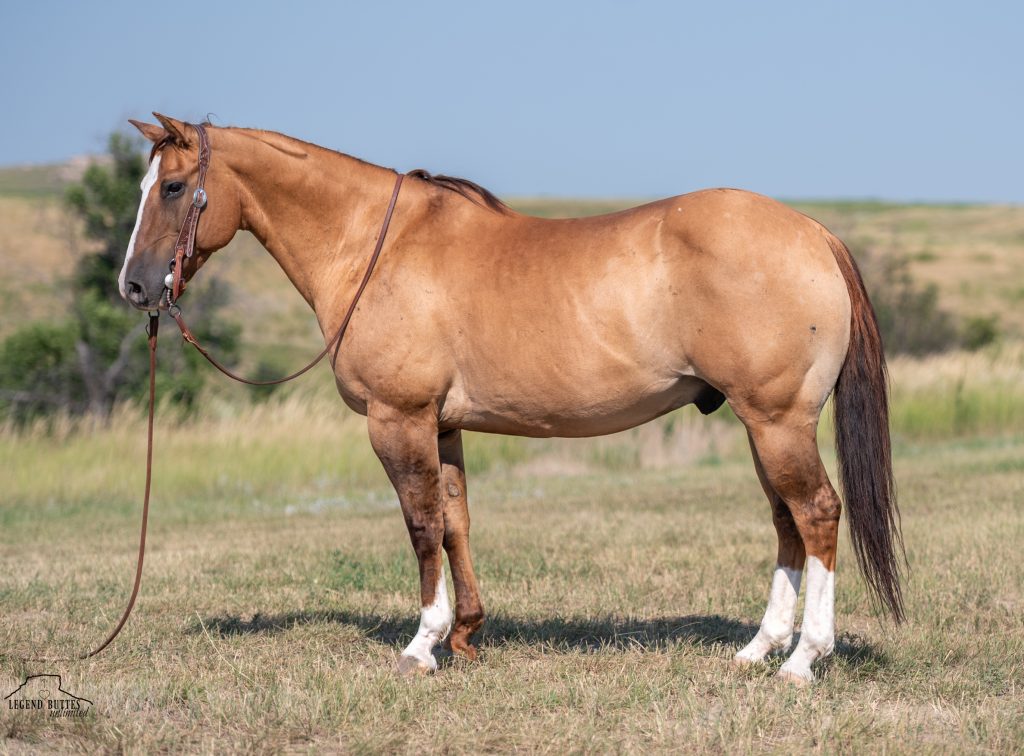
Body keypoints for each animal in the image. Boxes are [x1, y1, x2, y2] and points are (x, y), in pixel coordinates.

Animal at [119, 113, 904, 685]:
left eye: (173, 187)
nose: (134, 285)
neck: (376, 247)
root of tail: (812, 231)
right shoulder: (441, 427)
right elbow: (456, 523)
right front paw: (464, 635)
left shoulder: (397, 421)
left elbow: (422, 528)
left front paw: (421, 645)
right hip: (763, 426)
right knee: (787, 523)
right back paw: (758, 649)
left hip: (776, 422)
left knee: (816, 513)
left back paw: (803, 659)